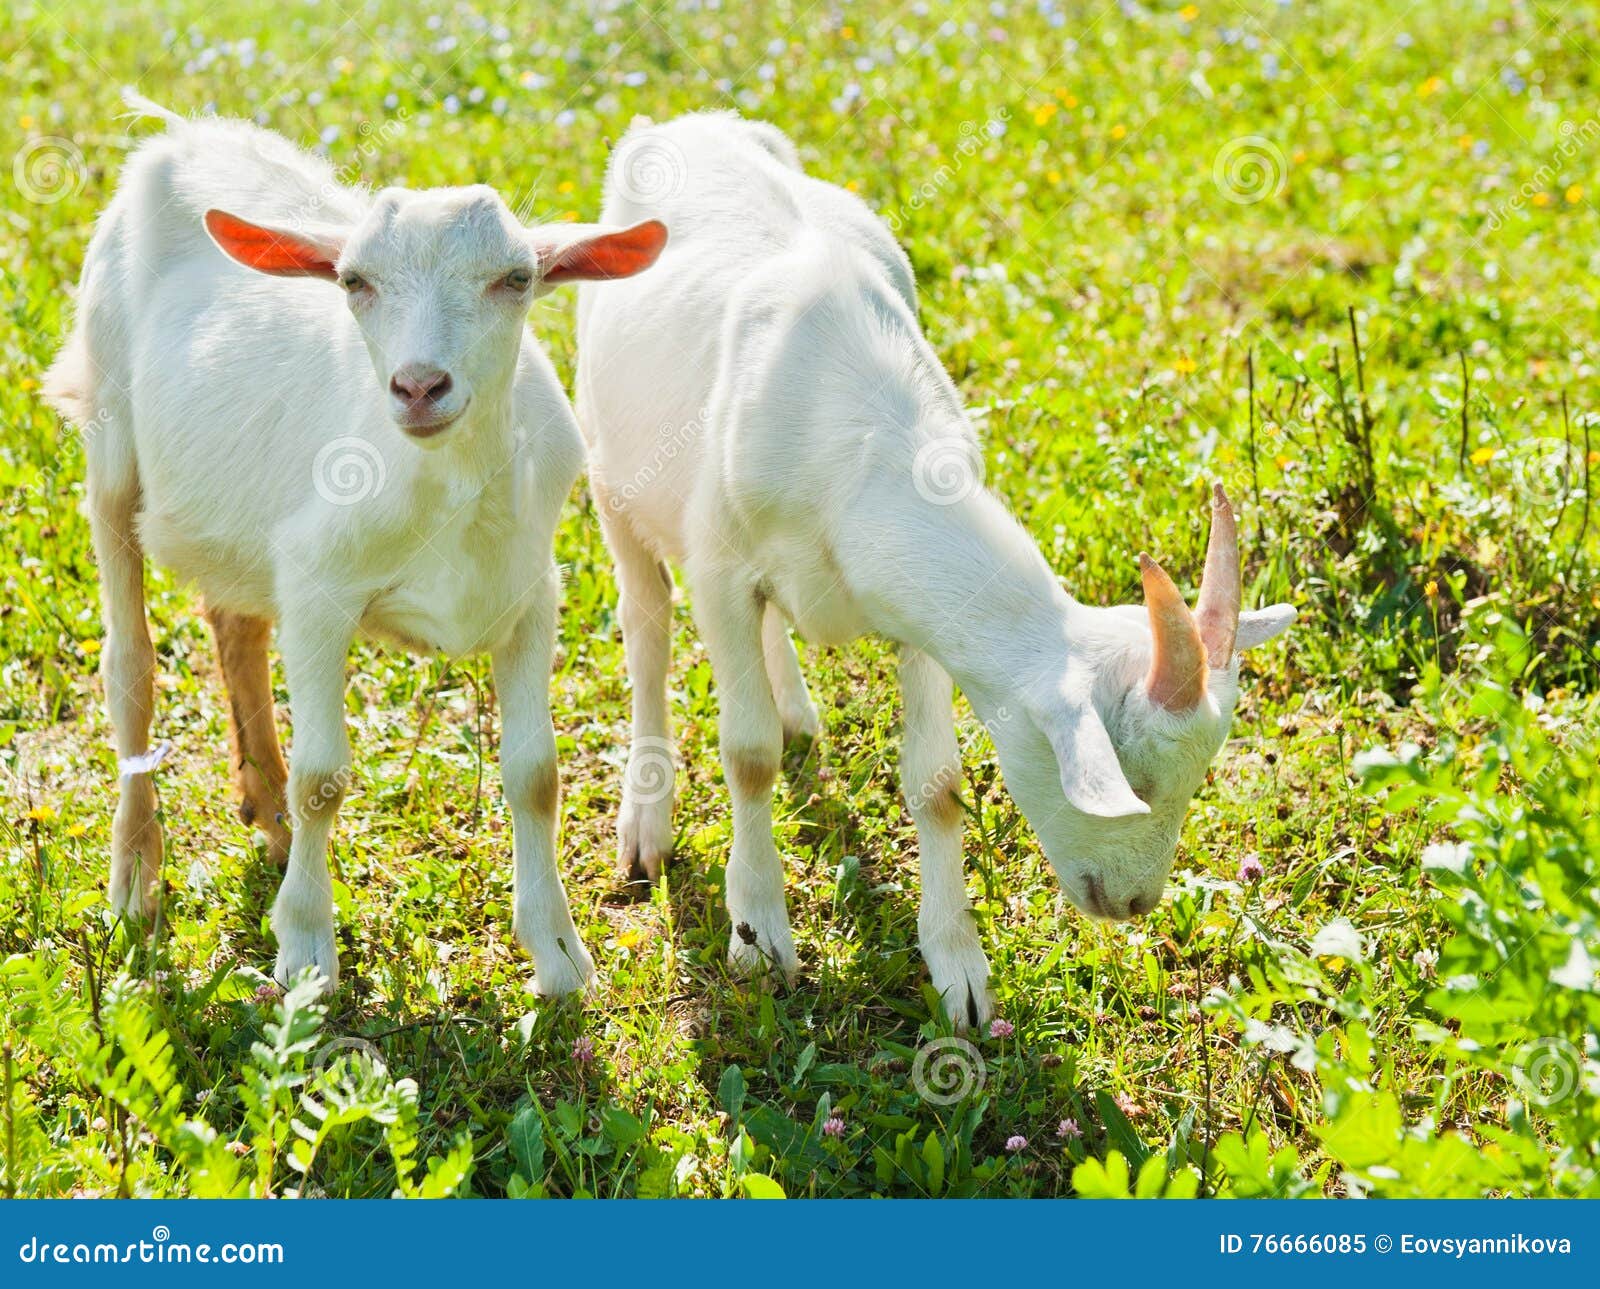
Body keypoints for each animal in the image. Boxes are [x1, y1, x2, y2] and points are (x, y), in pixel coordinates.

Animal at [45, 98, 665, 995]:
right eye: (354, 283)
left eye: (516, 278)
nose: (418, 385)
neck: (443, 488)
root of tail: (183, 137)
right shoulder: (318, 591)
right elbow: (324, 778)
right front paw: (306, 945)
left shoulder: (531, 596)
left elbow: (536, 776)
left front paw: (557, 952)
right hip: (110, 439)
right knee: (131, 664)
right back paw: (135, 878)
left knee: (235, 624)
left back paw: (262, 810)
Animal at [575, 112, 1293, 1028]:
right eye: (1129, 779)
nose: (1136, 901)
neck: (856, 442)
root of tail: (681, 124)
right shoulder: (722, 571)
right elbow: (748, 754)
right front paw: (760, 937)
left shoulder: (918, 619)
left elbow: (938, 782)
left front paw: (960, 972)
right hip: (612, 478)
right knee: (647, 627)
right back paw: (646, 823)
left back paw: (795, 706)